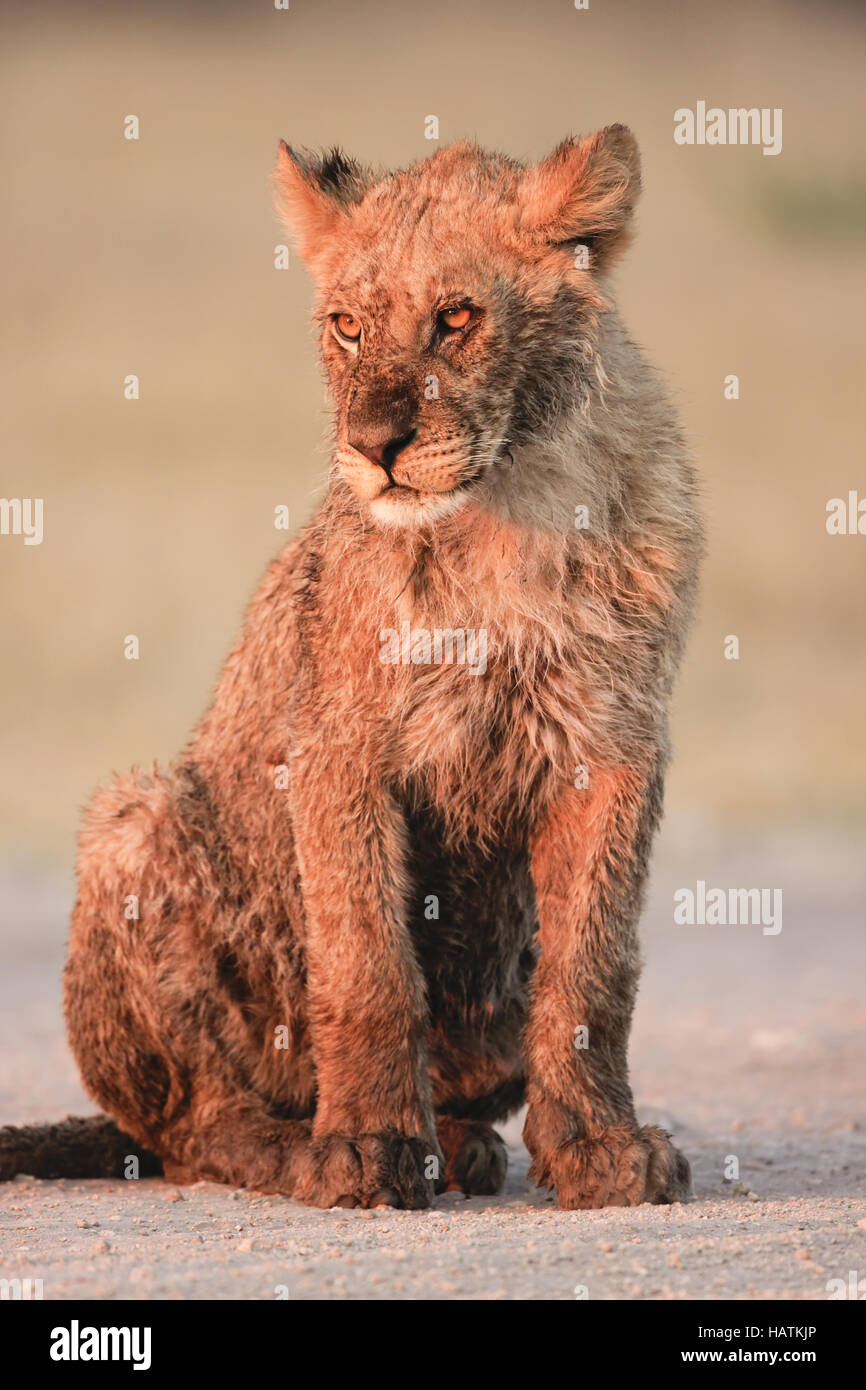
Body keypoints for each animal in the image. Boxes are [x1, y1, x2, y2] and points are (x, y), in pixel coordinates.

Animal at [1, 127, 701, 1209]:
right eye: (346, 326)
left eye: (456, 318)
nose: (375, 447)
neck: (510, 514)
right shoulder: (337, 749)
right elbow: (368, 962)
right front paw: (368, 1146)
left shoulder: (613, 752)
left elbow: (593, 970)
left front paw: (601, 1149)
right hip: (134, 814)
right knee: (196, 1128)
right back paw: (304, 1148)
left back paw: (463, 1144)